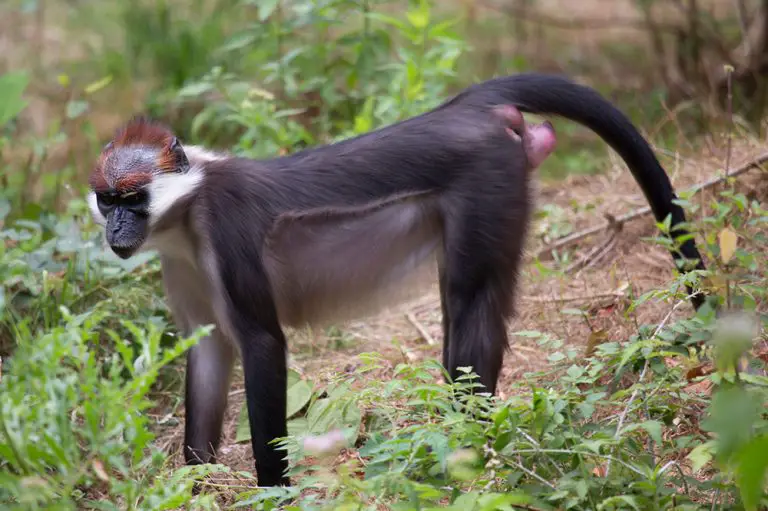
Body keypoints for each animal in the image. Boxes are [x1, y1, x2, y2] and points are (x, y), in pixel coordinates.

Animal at [86, 73, 706, 487]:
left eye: (133, 200)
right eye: (108, 199)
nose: (117, 228)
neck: (186, 211)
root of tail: (464, 108)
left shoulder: (227, 230)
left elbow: (261, 344)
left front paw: (272, 491)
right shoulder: (183, 264)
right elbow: (210, 352)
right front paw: (194, 482)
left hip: (490, 185)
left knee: (472, 302)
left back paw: (464, 451)